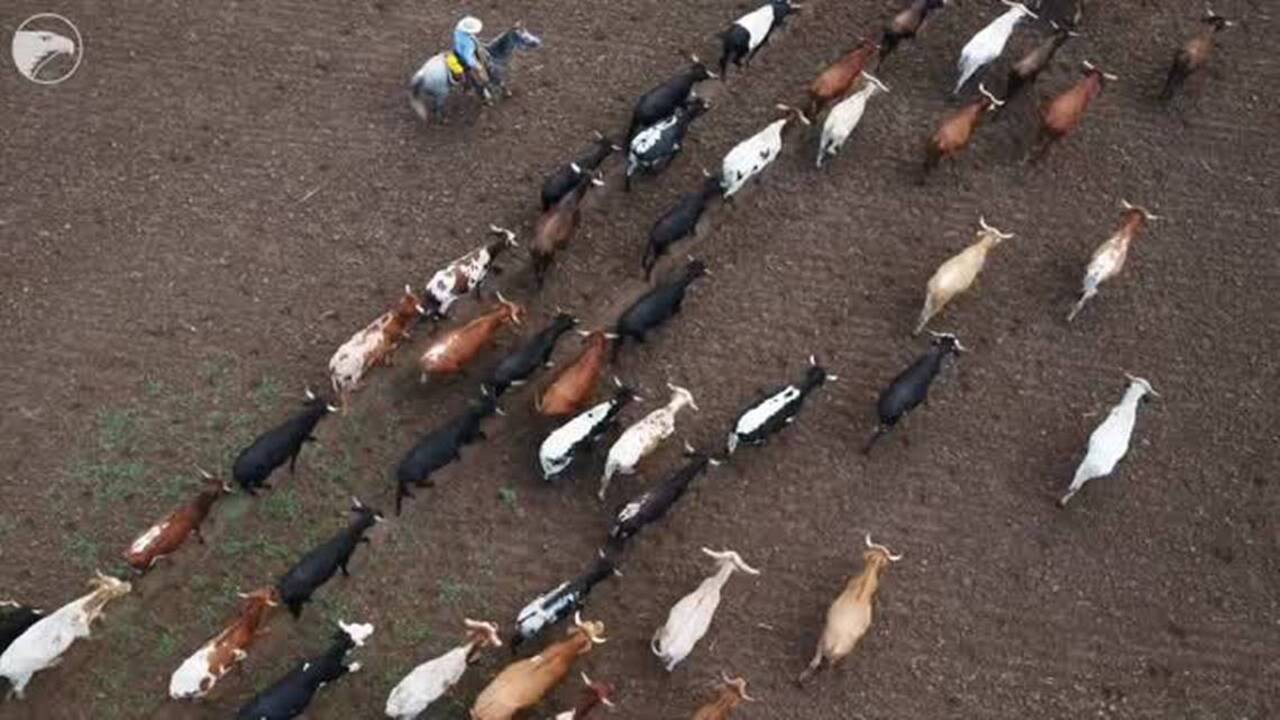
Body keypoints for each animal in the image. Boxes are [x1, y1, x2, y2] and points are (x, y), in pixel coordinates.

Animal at [0, 573, 132, 699]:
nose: (129, 584)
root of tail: (3, 665)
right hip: (24, 674)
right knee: (18, 688)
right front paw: (98, 637)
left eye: (115, 579)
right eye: (116, 589)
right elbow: (88, 634)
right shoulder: (82, 629)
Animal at [235, 620, 373, 720]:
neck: (329, 657)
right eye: (361, 632)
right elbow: (347, 668)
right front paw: (357, 665)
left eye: (357, 624)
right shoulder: (334, 672)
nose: (370, 626)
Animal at [796, 534, 903, 684]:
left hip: (820, 643)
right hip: (837, 654)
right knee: (828, 666)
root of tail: (835, 645)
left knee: (814, 663)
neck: (862, 589)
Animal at [1059, 375, 1159, 507]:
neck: (1127, 407)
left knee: (1075, 486)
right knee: (1075, 486)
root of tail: (1093, 466)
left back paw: (1063, 501)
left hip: (1082, 468)